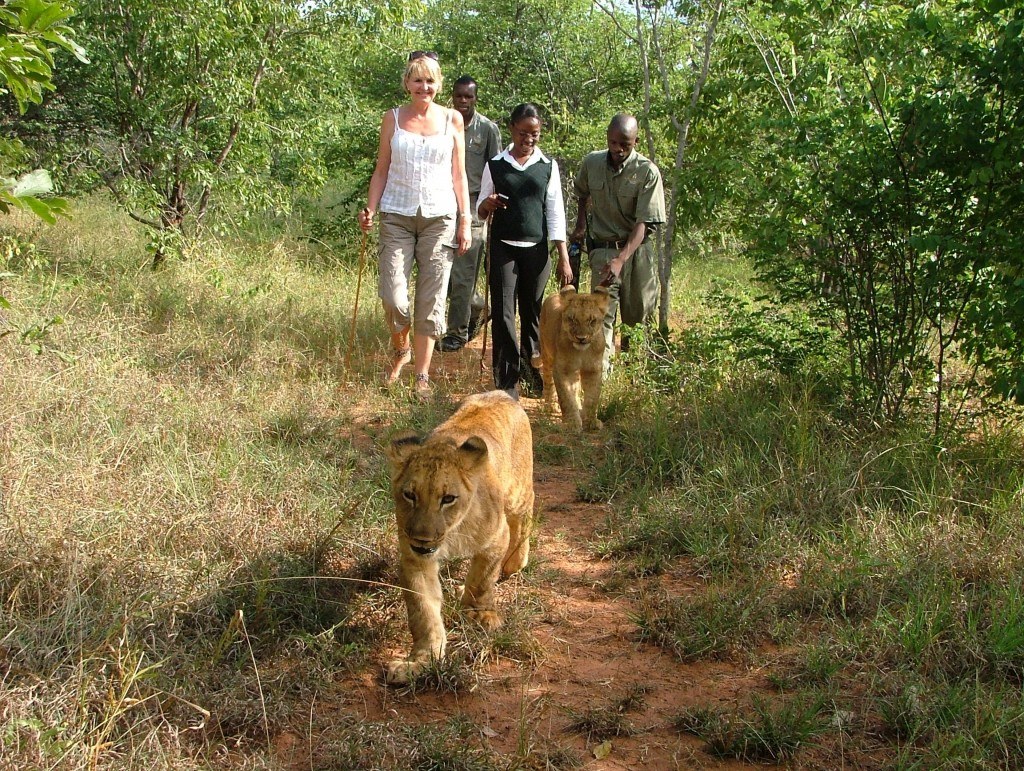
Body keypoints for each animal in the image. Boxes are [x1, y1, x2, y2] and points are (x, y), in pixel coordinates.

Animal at [384, 390, 534, 684]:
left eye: (448, 499)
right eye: (410, 495)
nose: (422, 539)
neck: (452, 533)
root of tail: (502, 393)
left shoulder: (496, 537)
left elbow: (482, 579)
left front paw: (480, 614)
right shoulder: (414, 558)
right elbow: (423, 611)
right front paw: (420, 661)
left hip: (518, 495)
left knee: (526, 512)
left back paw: (515, 562)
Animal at [533, 285, 610, 431]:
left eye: (592, 321)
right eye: (572, 319)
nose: (581, 338)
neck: (582, 352)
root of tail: (554, 294)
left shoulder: (593, 369)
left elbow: (592, 397)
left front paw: (591, 422)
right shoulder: (563, 369)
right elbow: (566, 396)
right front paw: (572, 423)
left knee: (576, 387)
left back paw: (579, 406)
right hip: (547, 355)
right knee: (548, 380)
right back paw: (550, 406)